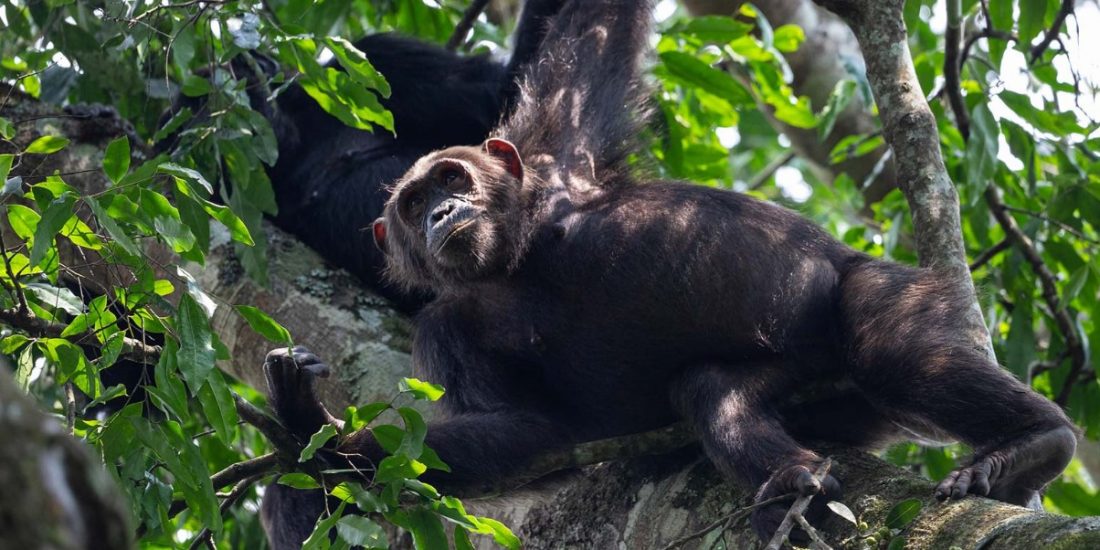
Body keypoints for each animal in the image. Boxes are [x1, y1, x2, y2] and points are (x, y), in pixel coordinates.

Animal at [263, 0, 1077, 545]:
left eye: (449, 178)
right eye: (411, 203)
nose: (441, 211)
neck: (518, 260)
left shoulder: (555, 141)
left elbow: (589, 35)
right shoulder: (442, 331)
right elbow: (517, 430)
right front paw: (315, 438)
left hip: (882, 289)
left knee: (896, 350)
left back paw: (1034, 442)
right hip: (818, 394)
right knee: (716, 394)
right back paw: (796, 484)